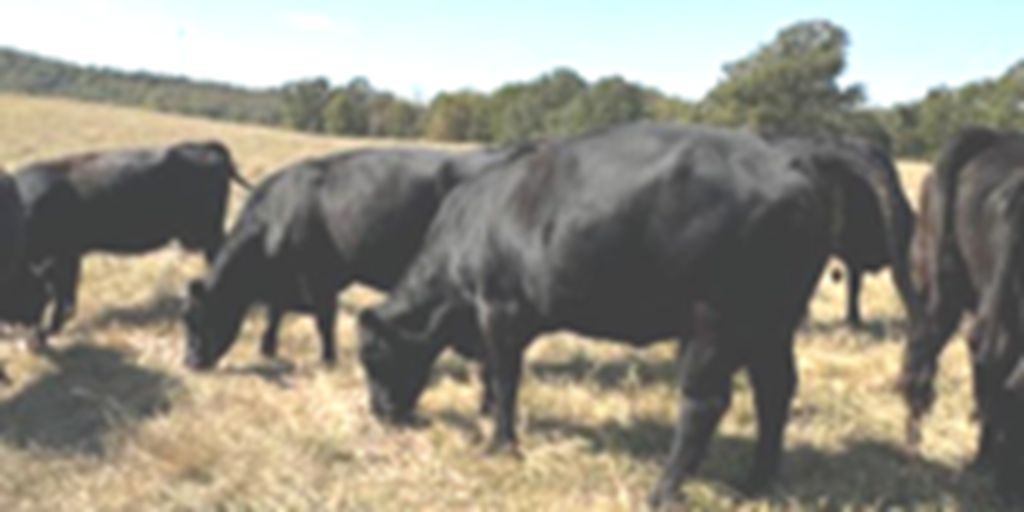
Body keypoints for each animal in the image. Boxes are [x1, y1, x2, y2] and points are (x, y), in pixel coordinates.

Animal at [6, 141, 248, 348]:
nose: (17, 327)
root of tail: (204, 146)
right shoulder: (70, 255)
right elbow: (65, 299)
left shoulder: (63, 255)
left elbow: (65, 302)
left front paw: (43, 335)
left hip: (208, 233)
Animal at [183, 145, 532, 370]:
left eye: (198, 318)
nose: (189, 362)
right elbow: (275, 312)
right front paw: (267, 349)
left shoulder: (319, 280)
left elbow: (324, 321)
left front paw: (328, 361)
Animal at [356, 122, 900, 508]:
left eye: (371, 357)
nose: (379, 413)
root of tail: (787, 154)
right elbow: (492, 374)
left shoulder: (500, 310)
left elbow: (506, 379)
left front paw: (499, 443)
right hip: (771, 323)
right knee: (775, 390)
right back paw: (756, 482)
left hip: (717, 320)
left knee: (705, 403)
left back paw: (664, 490)